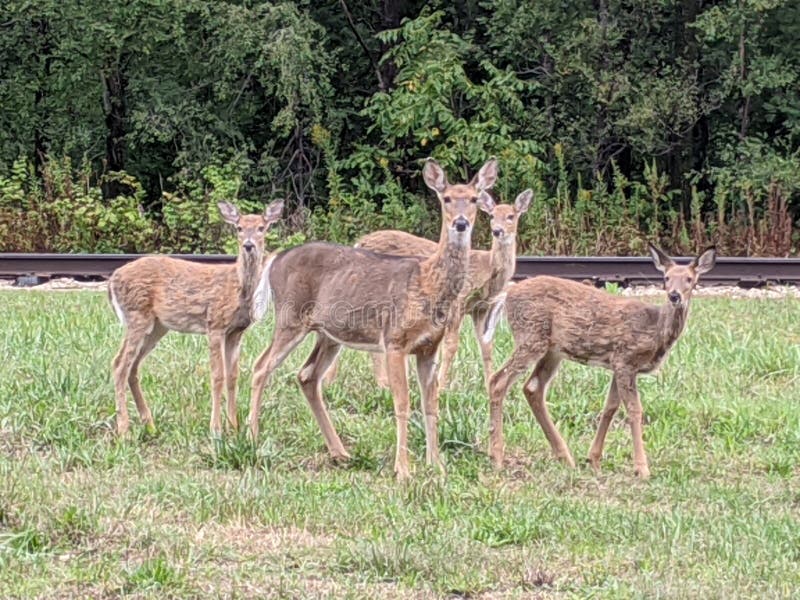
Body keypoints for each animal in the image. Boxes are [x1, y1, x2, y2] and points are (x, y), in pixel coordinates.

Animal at [108, 199, 284, 437]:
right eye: (239, 228)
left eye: (261, 228)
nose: (248, 245)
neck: (238, 288)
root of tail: (112, 279)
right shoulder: (215, 324)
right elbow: (217, 376)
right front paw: (216, 429)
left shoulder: (236, 332)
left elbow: (233, 377)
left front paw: (234, 427)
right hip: (137, 315)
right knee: (119, 365)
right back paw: (124, 430)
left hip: (156, 326)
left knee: (132, 367)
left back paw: (150, 425)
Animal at [247, 158, 498, 479]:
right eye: (446, 199)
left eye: (475, 199)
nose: (461, 223)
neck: (427, 284)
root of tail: (275, 259)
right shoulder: (395, 340)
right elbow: (402, 402)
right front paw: (403, 469)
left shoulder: (429, 347)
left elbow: (431, 404)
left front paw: (436, 465)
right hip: (290, 317)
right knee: (261, 367)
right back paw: (251, 437)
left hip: (327, 334)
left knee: (306, 376)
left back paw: (340, 452)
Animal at [327, 188, 532, 393]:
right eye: (491, 215)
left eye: (511, 216)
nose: (497, 231)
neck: (487, 269)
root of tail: (359, 243)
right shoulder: (458, 301)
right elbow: (451, 345)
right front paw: (441, 385)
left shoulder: (480, 308)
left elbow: (486, 346)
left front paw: (489, 384)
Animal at [487, 244, 716, 479]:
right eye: (666, 277)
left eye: (689, 278)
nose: (674, 296)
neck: (655, 330)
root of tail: (506, 296)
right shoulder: (626, 359)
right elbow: (634, 410)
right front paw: (642, 468)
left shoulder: (618, 364)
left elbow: (610, 407)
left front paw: (594, 459)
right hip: (530, 335)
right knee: (497, 381)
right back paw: (497, 457)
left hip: (552, 349)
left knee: (533, 388)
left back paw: (565, 457)